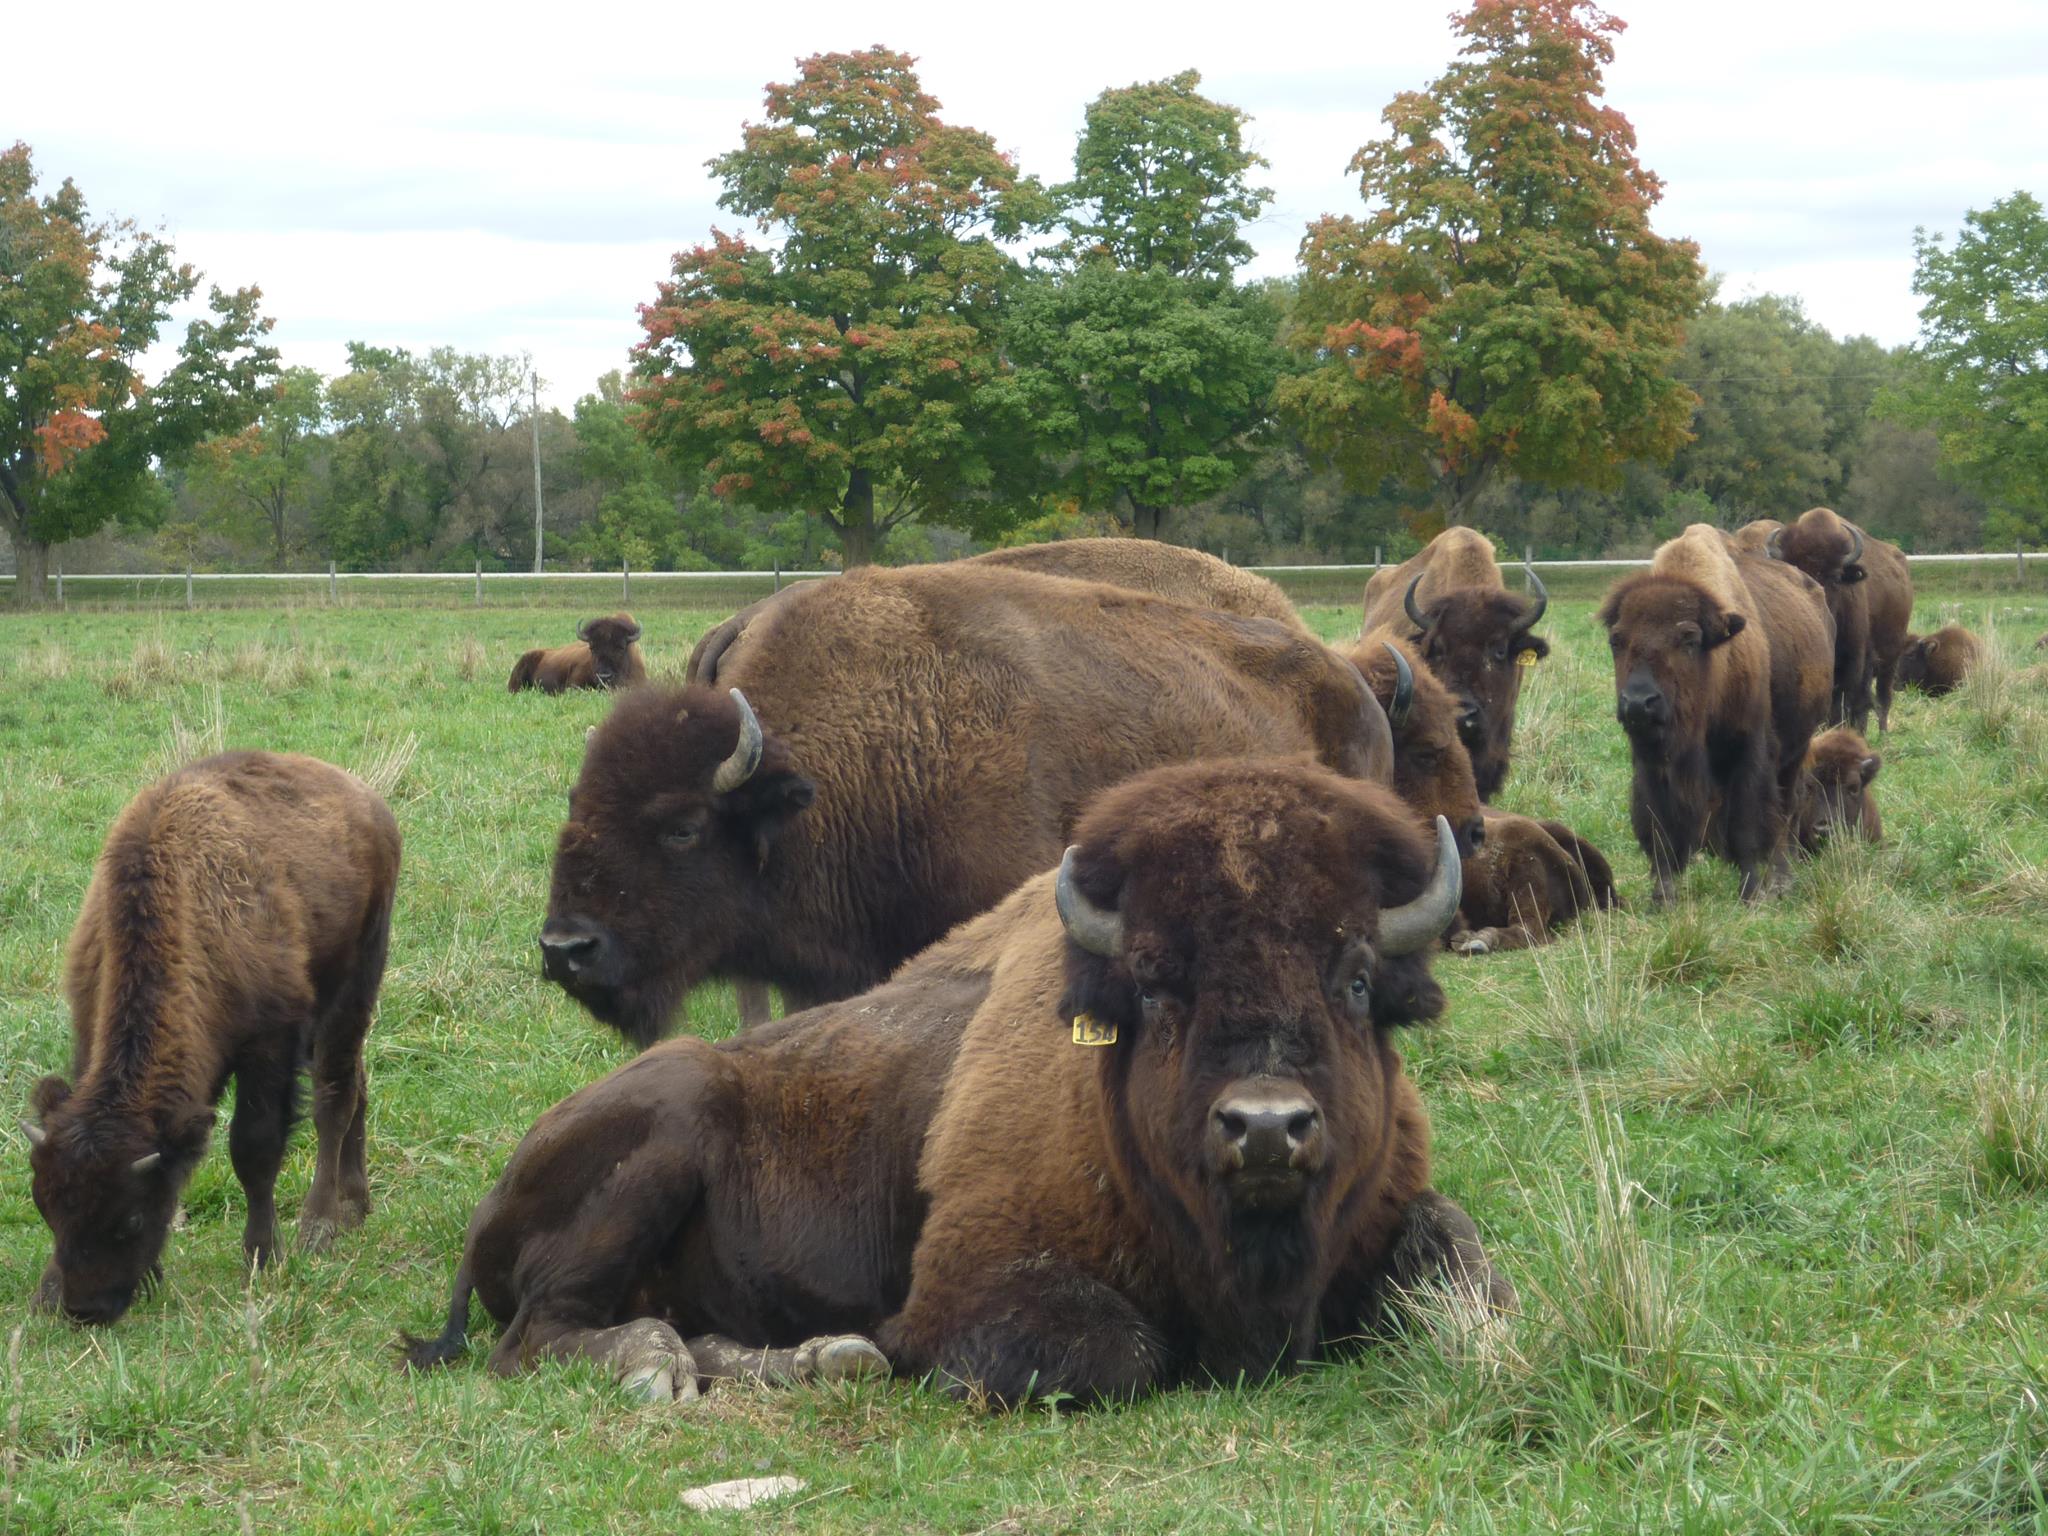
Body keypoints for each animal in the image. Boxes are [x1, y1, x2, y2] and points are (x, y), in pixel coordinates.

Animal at [26, 753, 400, 1323]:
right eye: (46, 1209)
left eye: (131, 1219)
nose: (87, 1308)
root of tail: (368, 801)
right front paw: (47, 1287)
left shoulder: (269, 1045)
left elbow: (254, 1148)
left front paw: (263, 1254)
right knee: (356, 1084)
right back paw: (355, 1205)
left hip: (355, 983)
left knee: (335, 1098)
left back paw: (319, 1225)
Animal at [403, 759, 1500, 1406]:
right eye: (1154, 980)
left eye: (1354, 977)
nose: (1266, 1127)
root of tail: (497, 1189)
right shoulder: (979, 1283)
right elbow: (1119, 1353)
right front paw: (898, 1349)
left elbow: (1464, 1273)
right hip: (669, 1119)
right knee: (538, 1333)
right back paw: (661, 1366)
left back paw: (823, 1358)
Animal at [1600, 524, 1834, 902]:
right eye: (1616, 640)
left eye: (1689, 639)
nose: (1638, 702)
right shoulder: (1649, 762)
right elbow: (1659, 828)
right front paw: (1663, 896)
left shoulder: (1748, 751)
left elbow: (1746, 826)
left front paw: (1751, 893)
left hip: (1796, 749)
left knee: (1786, 808)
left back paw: (1781, 881)